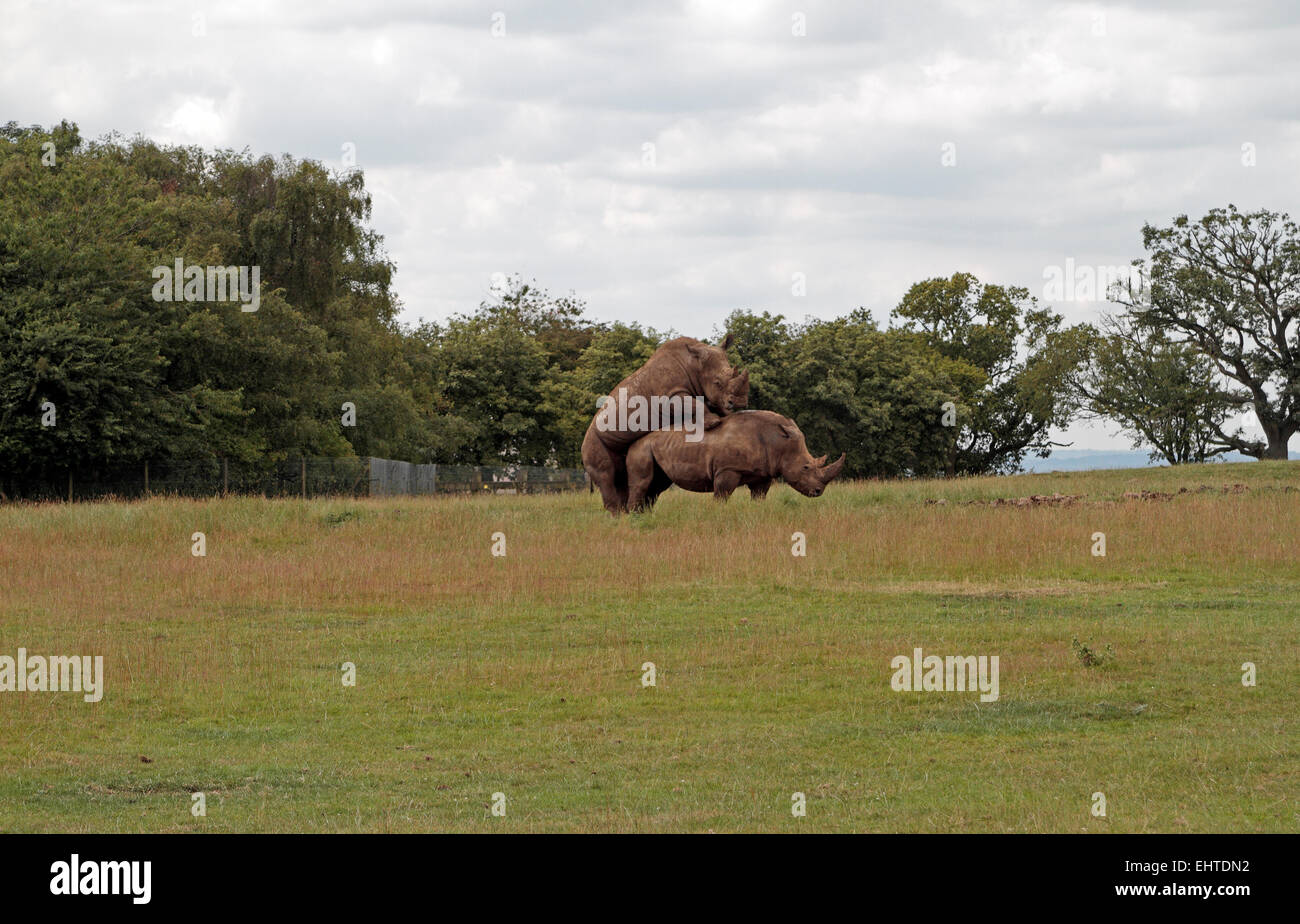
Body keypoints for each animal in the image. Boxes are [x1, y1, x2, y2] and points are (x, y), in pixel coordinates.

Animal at [582, 335, 749, 514]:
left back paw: (629, 514)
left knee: (623, 477)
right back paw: (619, 516)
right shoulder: (669, 397)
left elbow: (711, 404)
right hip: (592, 441)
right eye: (717, 383)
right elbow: (694, 404)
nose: (740, 402)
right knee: (605, 475)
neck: (694, 365)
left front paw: (727, 415)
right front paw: (713, 422)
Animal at [625, 409, 846, 510]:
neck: (777, 441)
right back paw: (633, 518)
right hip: (641, 448)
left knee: (656, 486)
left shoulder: (763, 474)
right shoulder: (728, 469)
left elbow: (759, 496)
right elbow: (722, 496)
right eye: (806, 467)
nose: (818, 492)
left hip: (656, 448)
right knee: (642, 483)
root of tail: (633, 442)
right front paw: (717, 515)